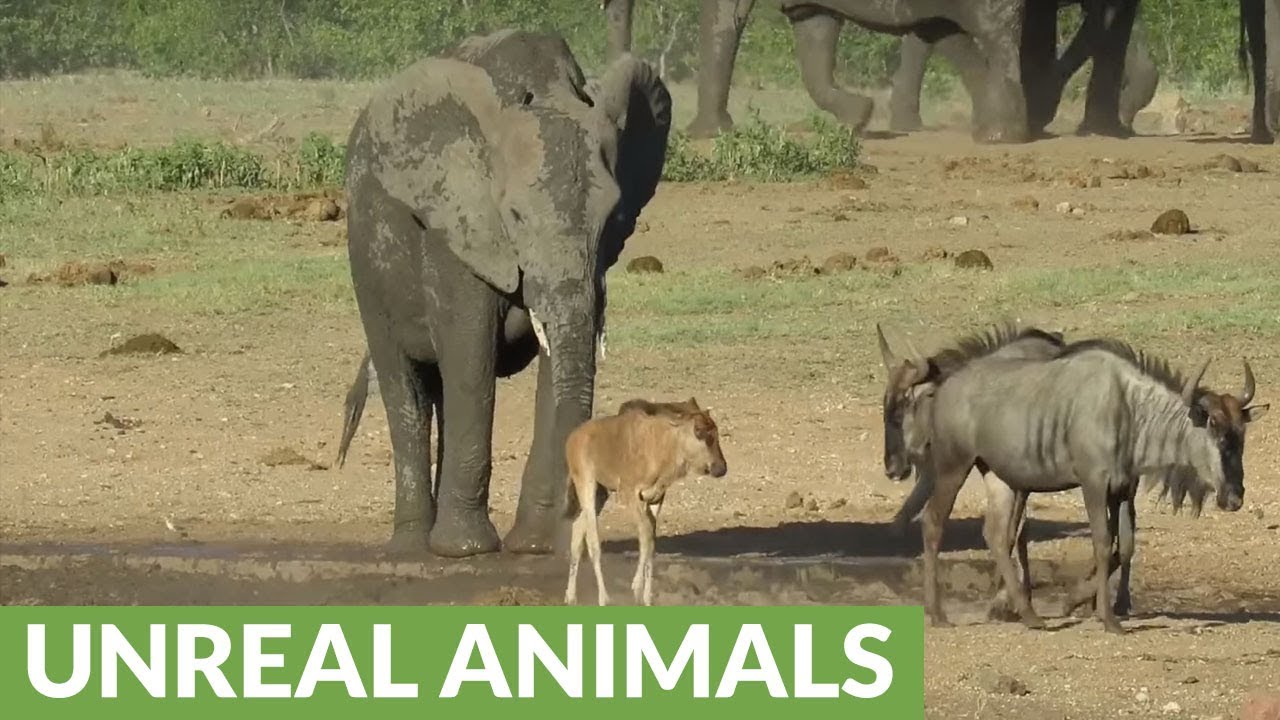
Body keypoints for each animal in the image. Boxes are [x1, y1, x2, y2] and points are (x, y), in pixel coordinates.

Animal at [340, 29, 672, 557]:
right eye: (514, 216)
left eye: (613, 216)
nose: (589, 500)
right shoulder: (456, 227)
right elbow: (470, 358)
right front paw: (467, 550)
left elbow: (554, 360)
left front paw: (534, 547)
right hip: (364, 258)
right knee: (406, 386)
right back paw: (414, 547)